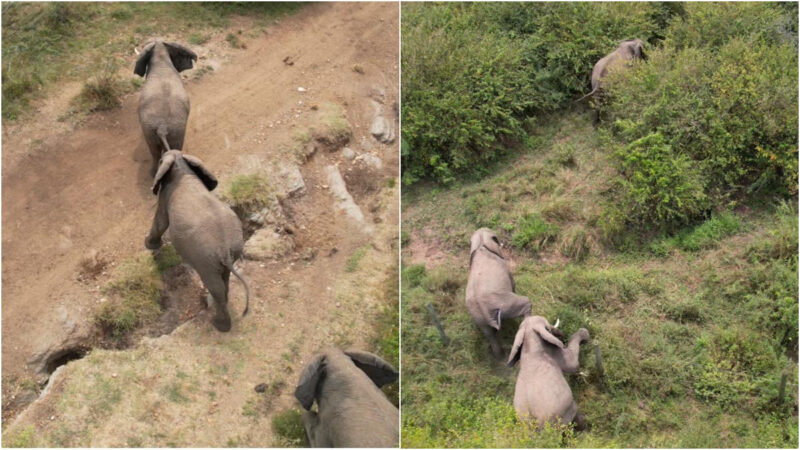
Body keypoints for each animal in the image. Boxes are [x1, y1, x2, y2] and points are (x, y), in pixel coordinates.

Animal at [145, 150, 249, 332]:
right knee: (224, 280)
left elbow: (160, 221)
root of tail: (224, 251)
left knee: (214, 285)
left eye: (160, 160)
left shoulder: (165, 195)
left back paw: (219, 325)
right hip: (230, 252)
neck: (180, 164)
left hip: (205, 259)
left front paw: (149, 246)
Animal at [466, 228, 532, 359]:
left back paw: (500, 357)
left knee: (489, 334)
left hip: (478, 318)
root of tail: (484, 309)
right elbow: (513, 285)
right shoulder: (505, 268)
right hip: (505, 304)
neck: (481, 246)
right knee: (525, 303)